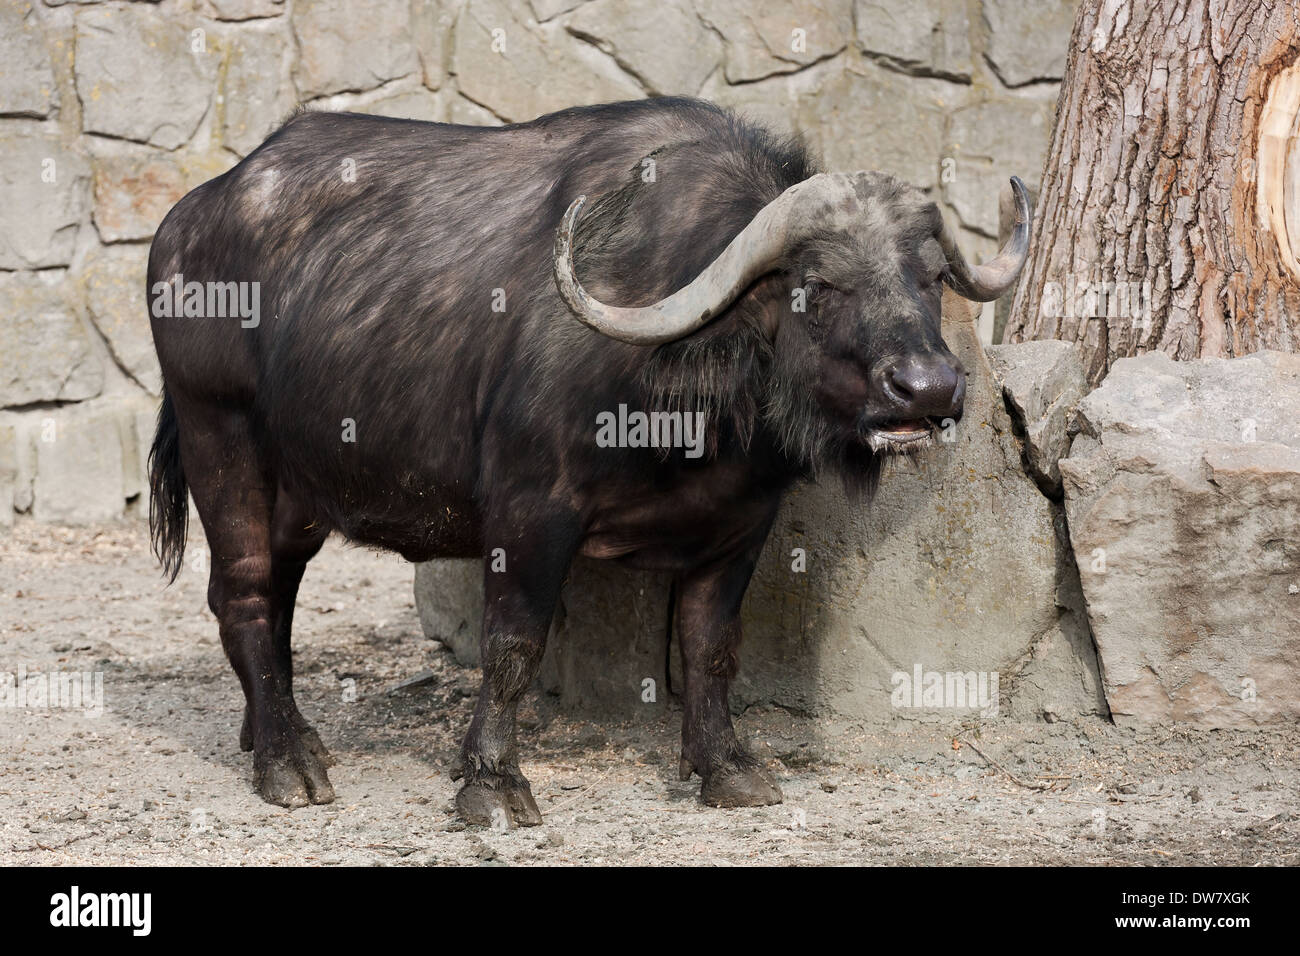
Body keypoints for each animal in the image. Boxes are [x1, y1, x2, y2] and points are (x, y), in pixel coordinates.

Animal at [147, 97, 1029, 825]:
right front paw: (492, 783)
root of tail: (189, 218)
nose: (928, 387)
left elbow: (711, 646)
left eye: (932, 276)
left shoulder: (742, 527)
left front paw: (726, 766)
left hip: (298, 490)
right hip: (220, 437)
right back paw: (286, 766)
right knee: (244, 594)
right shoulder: (530, 514)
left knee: (278, 596)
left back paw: (281, 733)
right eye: (820, 283)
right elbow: (513, 648)